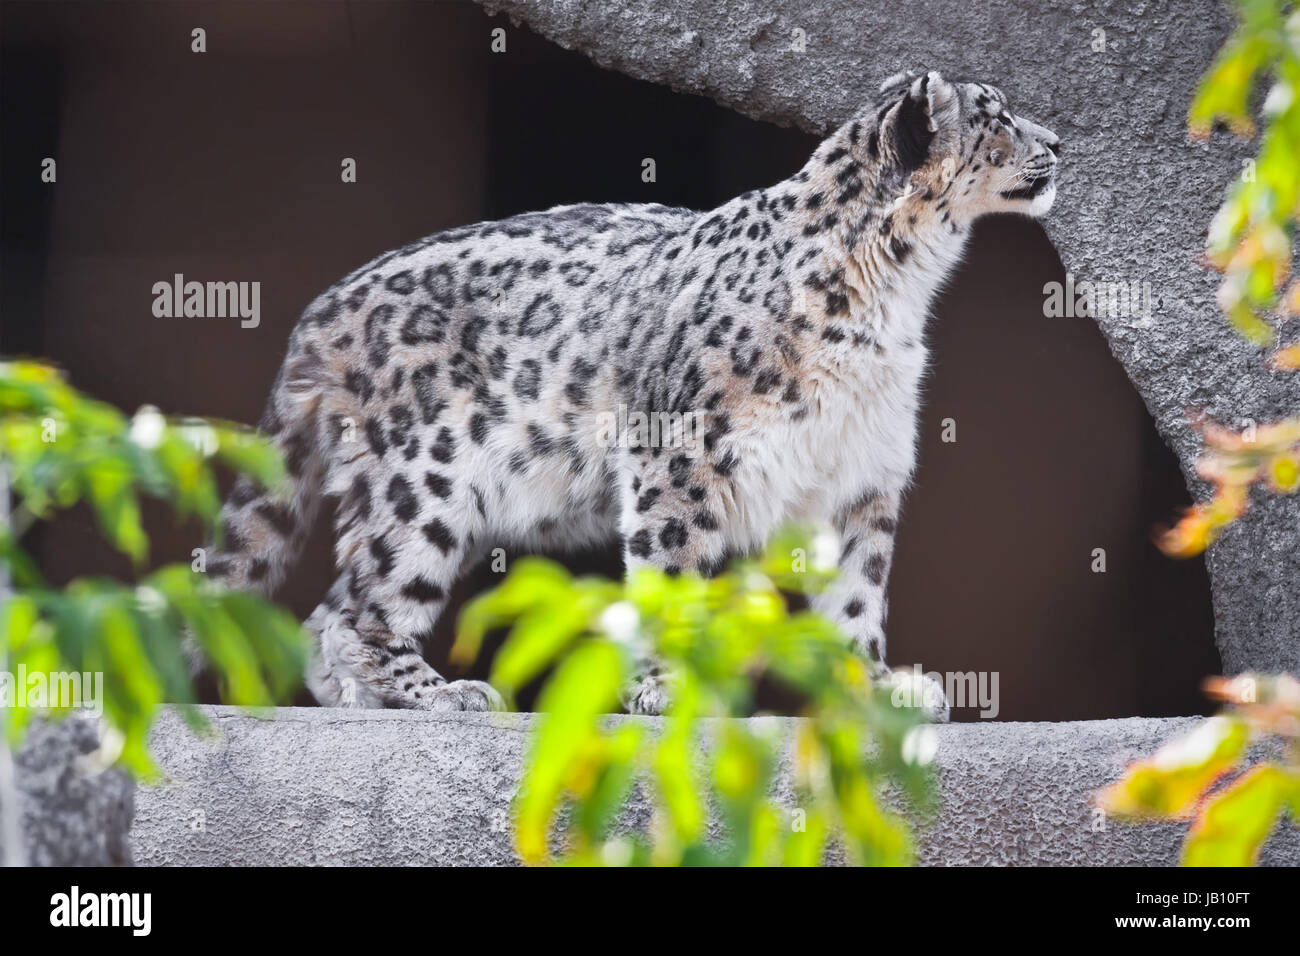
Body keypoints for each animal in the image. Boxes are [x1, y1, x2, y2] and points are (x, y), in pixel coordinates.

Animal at [206, 70, 1060, 720]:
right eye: (999, 116)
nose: (1060, 142)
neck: (895, 301)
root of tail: (325, 307)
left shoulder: (863, 471)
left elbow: (857, 595)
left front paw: (878, 687)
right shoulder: (680, 455)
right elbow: (671, 570)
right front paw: (664, 689)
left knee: (328, 608)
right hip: (426, 482)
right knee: (365, 601)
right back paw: (441, 694)